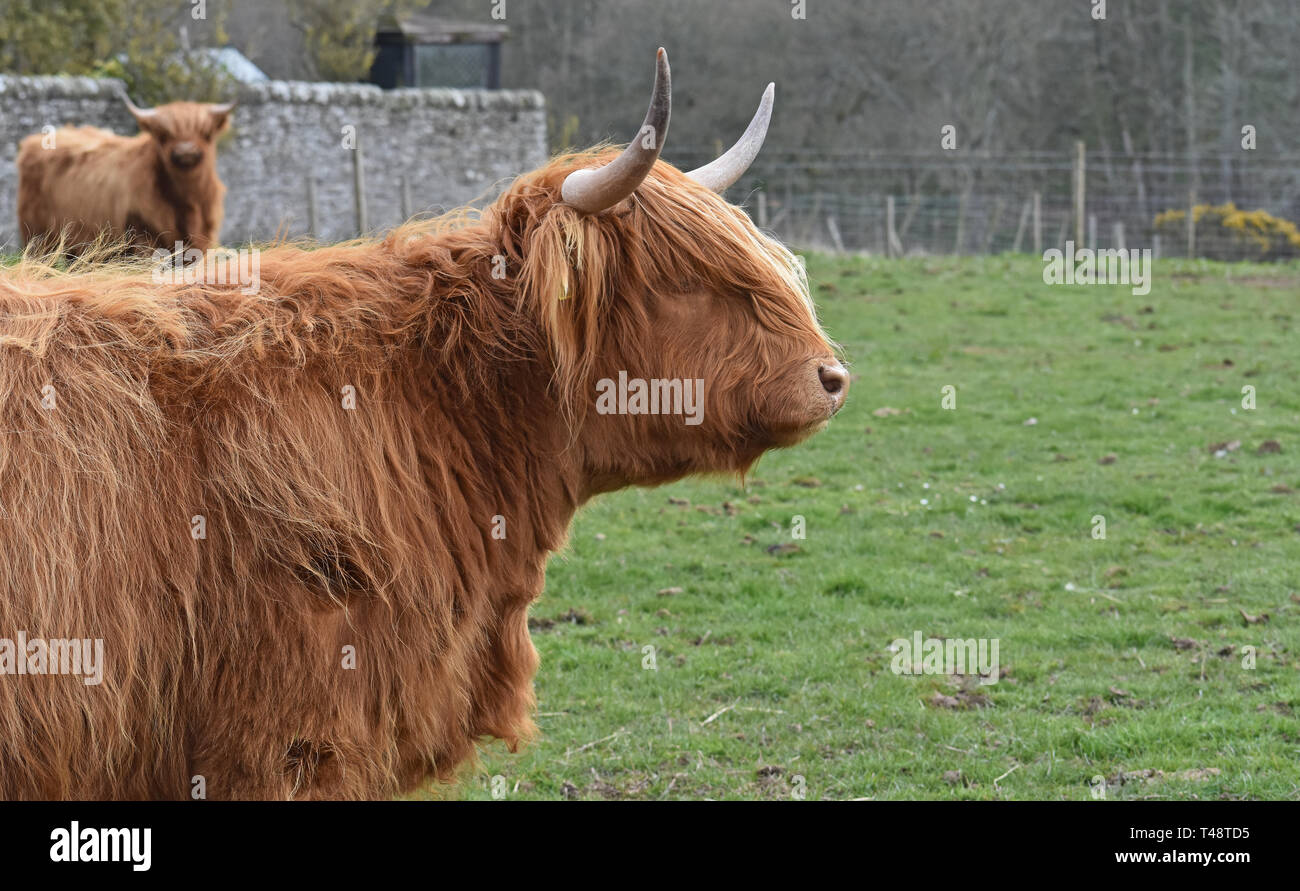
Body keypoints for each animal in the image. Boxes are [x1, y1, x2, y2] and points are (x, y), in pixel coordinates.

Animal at [16, 97, 234, 254]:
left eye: (206, 133)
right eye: (163, 135)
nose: (186, 152)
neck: (186, 203)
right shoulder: (142, 238)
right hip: (38, 237)